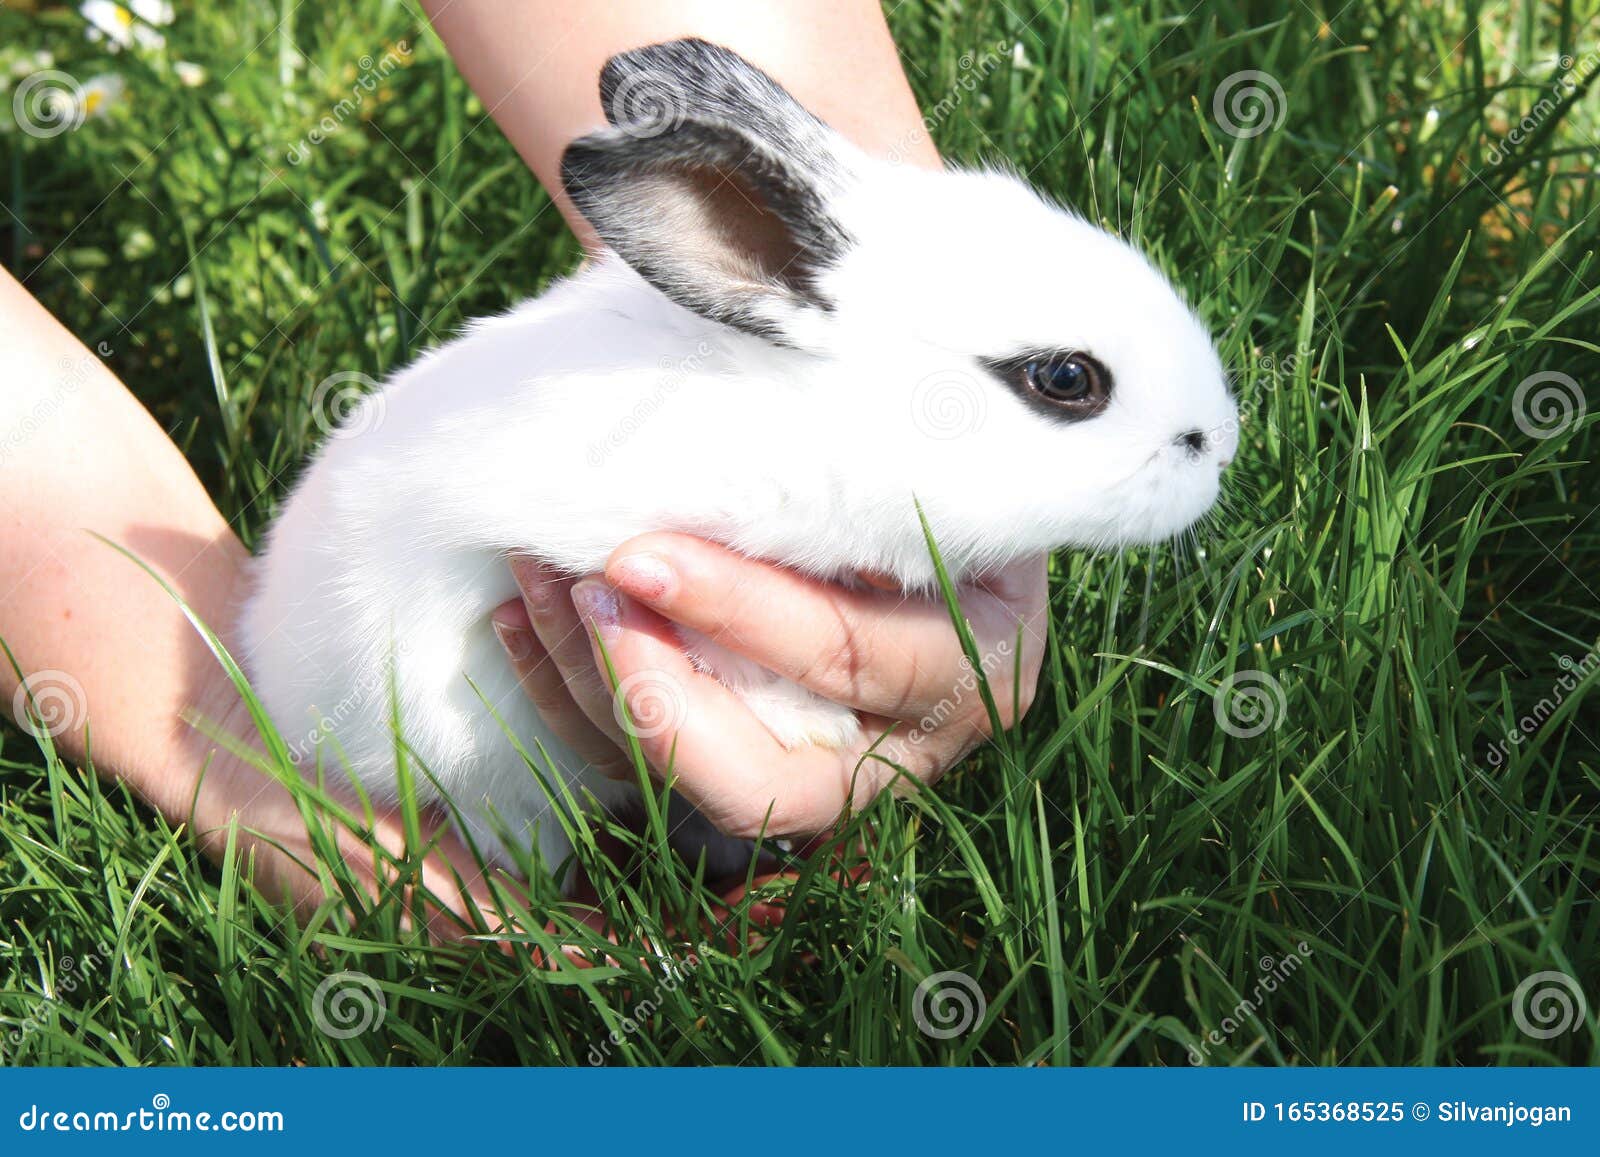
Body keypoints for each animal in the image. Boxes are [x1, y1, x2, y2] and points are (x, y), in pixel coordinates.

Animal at [240, 38, 1238, 882]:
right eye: (1065, 378)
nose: (1218, 441)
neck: (814, 410)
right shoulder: (606, 556)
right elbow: (721, 650)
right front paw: (818, 728)